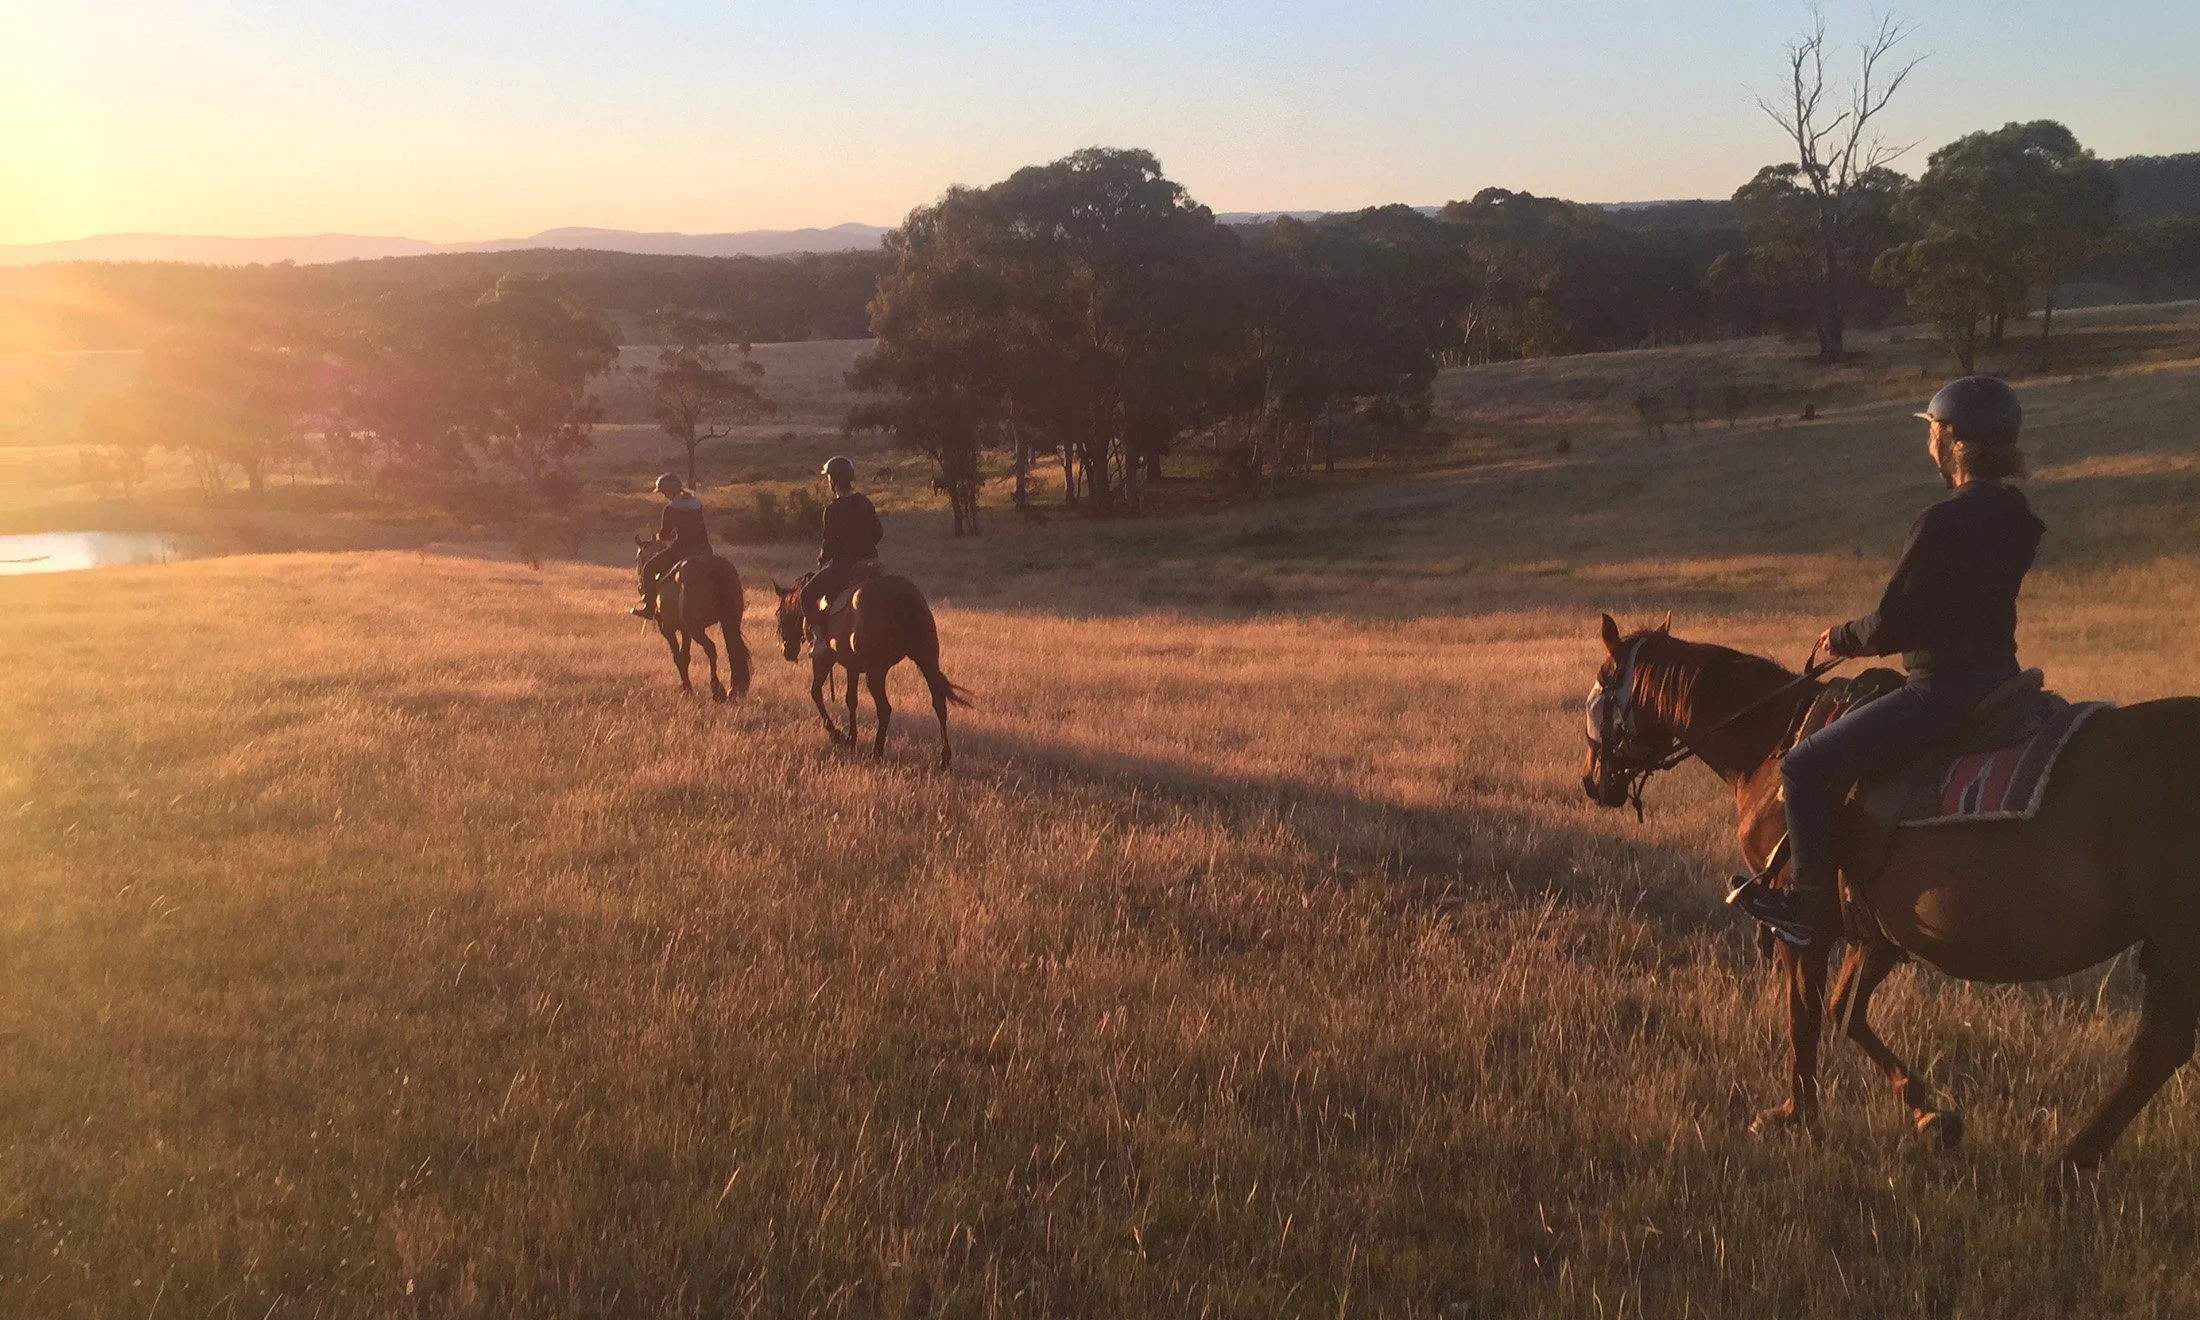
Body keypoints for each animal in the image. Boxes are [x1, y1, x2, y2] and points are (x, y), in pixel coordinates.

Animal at [634, 537, 749, 702]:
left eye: (638, 558)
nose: (640, 587)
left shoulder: (667, 629)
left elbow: (678, 657)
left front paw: (687, 689)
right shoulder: (685, 631)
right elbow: (685, 656)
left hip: (696, 628)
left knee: (711, 649)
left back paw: (717, 689)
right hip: (730, 622)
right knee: (734, 650)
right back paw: (734, 690)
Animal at [773, 570, 971, 768]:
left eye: (780, 613)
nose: (786, 651)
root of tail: (901, 594)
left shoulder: (823, 661)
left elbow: (816, 693)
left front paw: (837, 734)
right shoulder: (852, 667)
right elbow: (851, 700)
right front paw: (851, 739)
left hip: (876, 671)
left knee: (885, 708)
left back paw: (877, 752)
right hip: (927, 661)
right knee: (939, 704)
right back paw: (944, 758)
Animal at [1581, 614, 2200, 1169]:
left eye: (1601, 689)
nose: (1591, 782)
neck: (1774, 746)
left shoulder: (1805, 927)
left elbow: (1803, 1016)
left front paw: (1796, 1117)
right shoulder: (1877, 930)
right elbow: (1845, 1013)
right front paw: (1928, 1112)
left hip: (2176, 941)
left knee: (2156, 1051)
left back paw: (2068, 1164)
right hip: (2168, 949)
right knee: (2158, 1053)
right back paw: (2072, 1162)